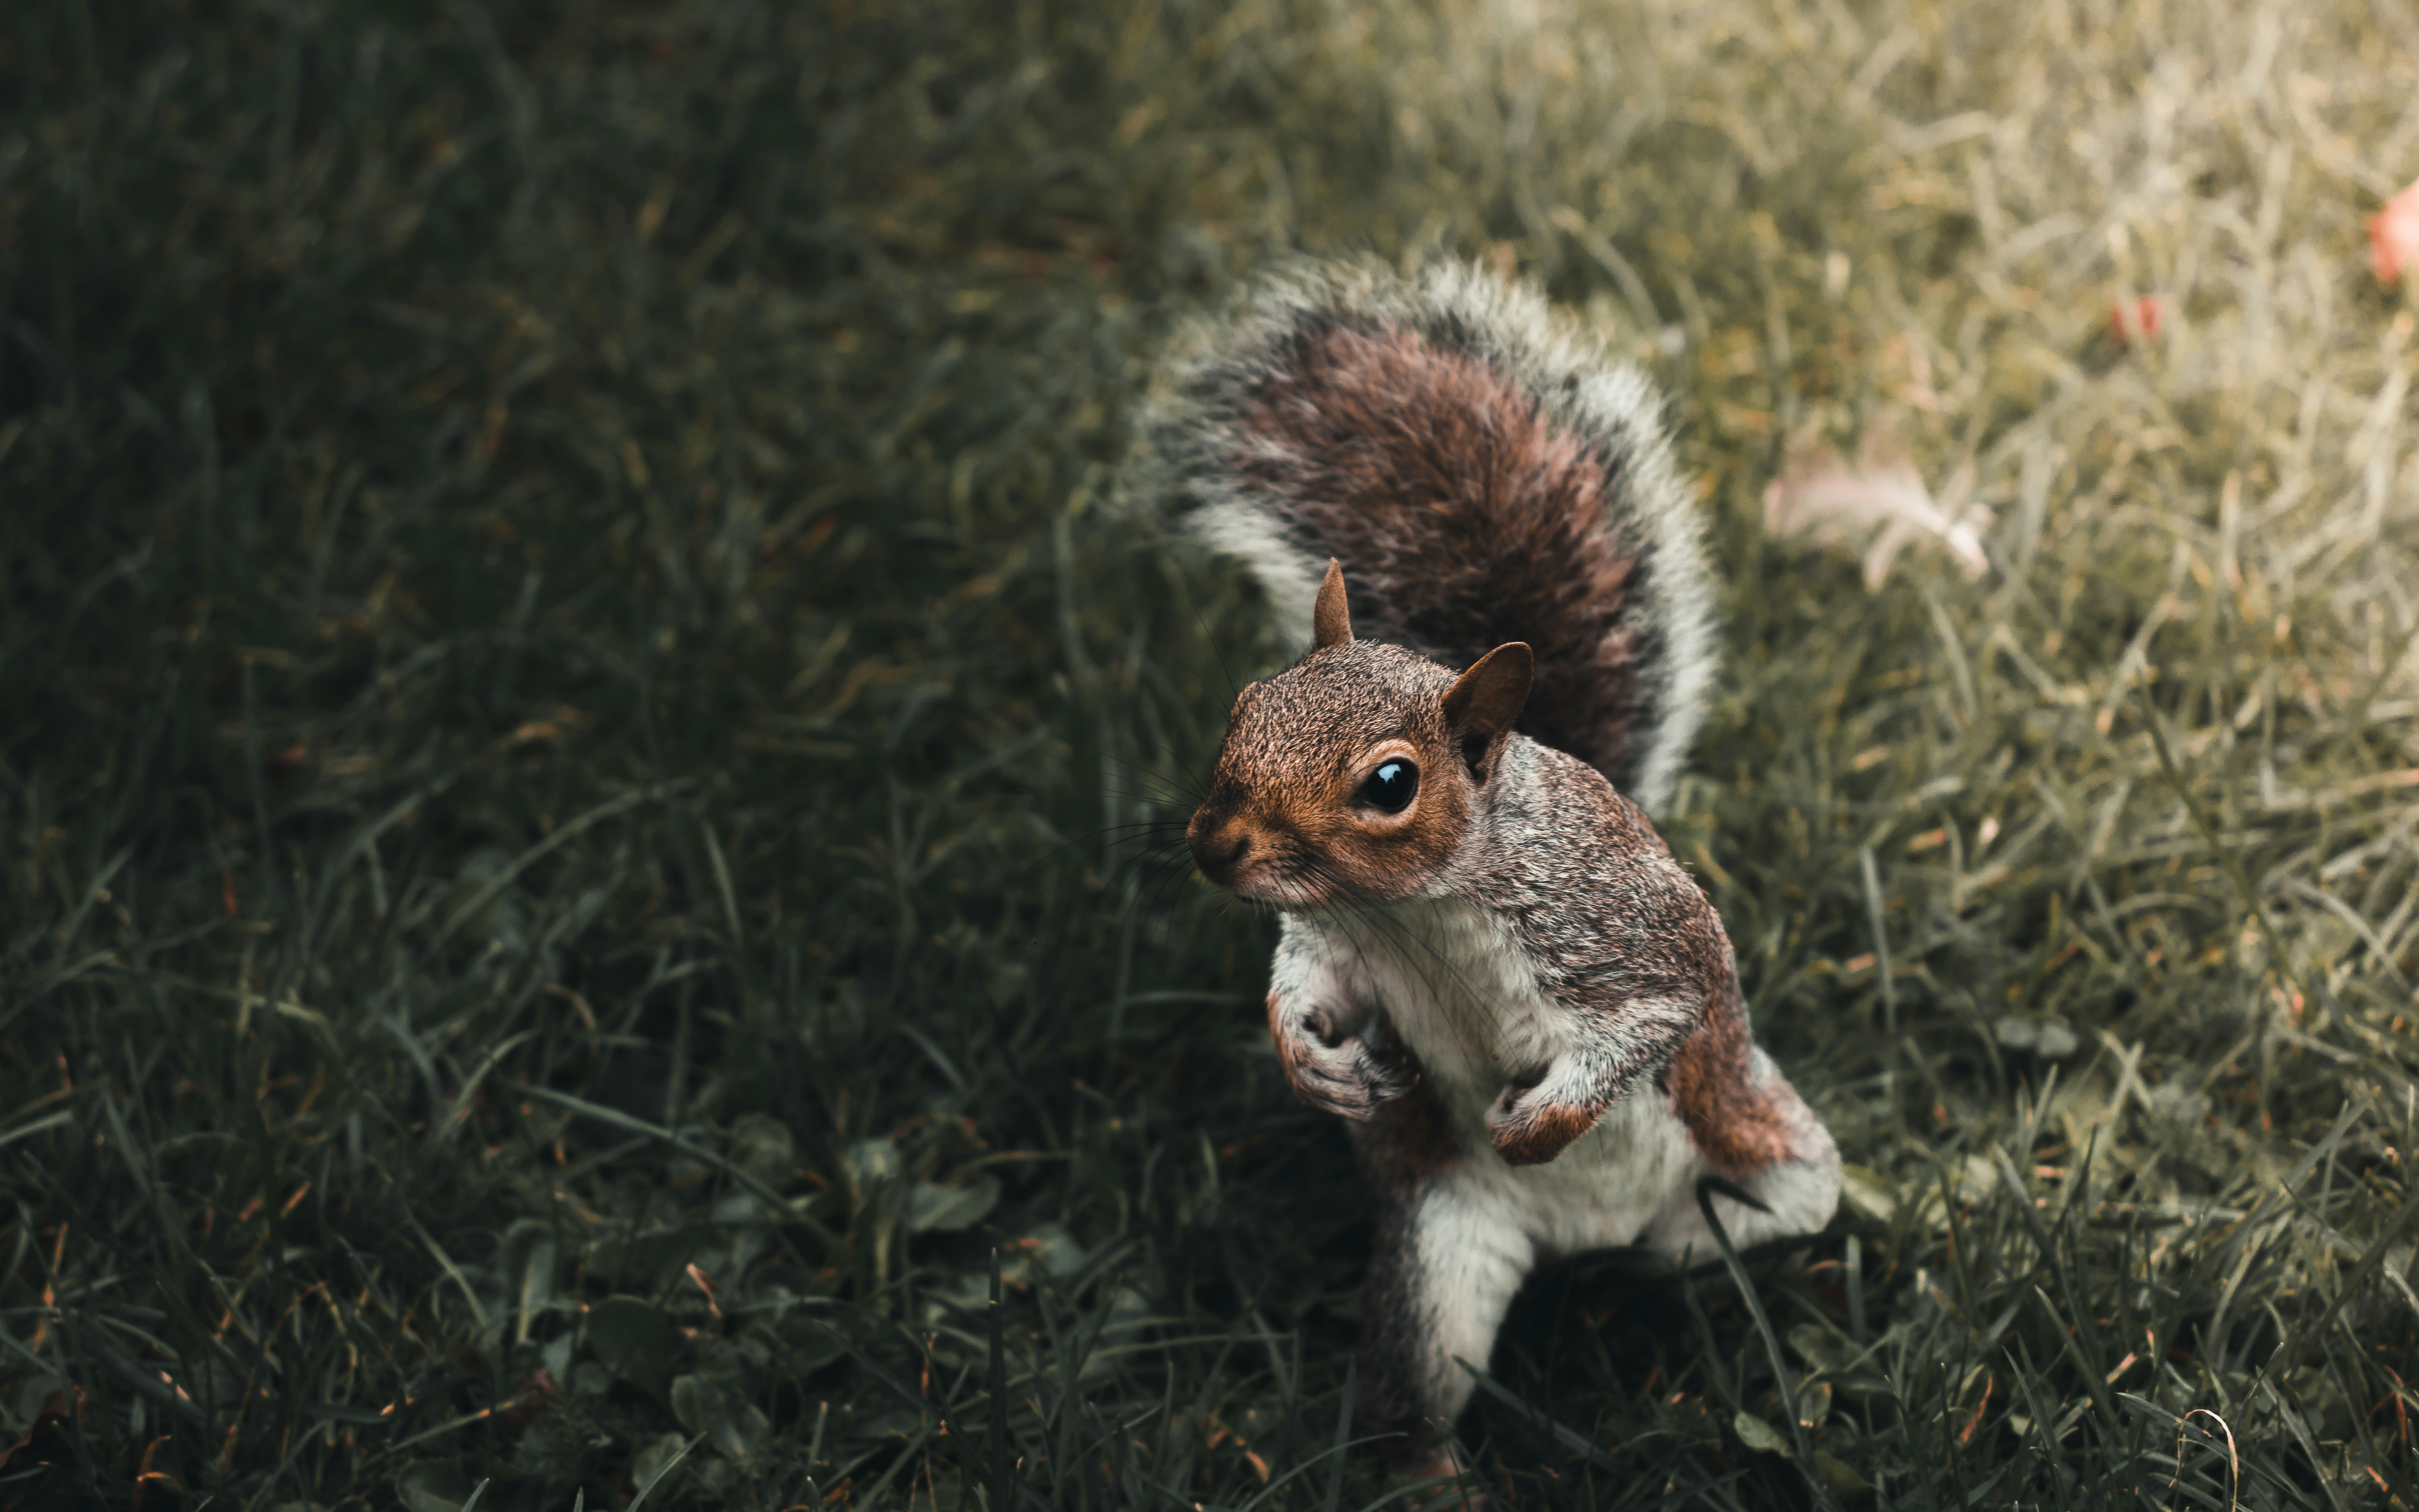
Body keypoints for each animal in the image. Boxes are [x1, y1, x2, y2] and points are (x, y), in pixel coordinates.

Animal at [1135, 258, 1843, 1485]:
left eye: (1388, 782)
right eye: (1244, 703)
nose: (1213, 845)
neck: (1416, 909)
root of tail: (1581, 1236)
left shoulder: (1614, 934)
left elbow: (1652, 1017)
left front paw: (1543, 1123)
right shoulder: (1339, 942)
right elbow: (1300, 988)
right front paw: (1311, 1065)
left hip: (1770, 1158)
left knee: (1724, 1229)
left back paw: (1667, 1261)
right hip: (1436, 1265)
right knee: (1415, 1396)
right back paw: (1432, 1477)